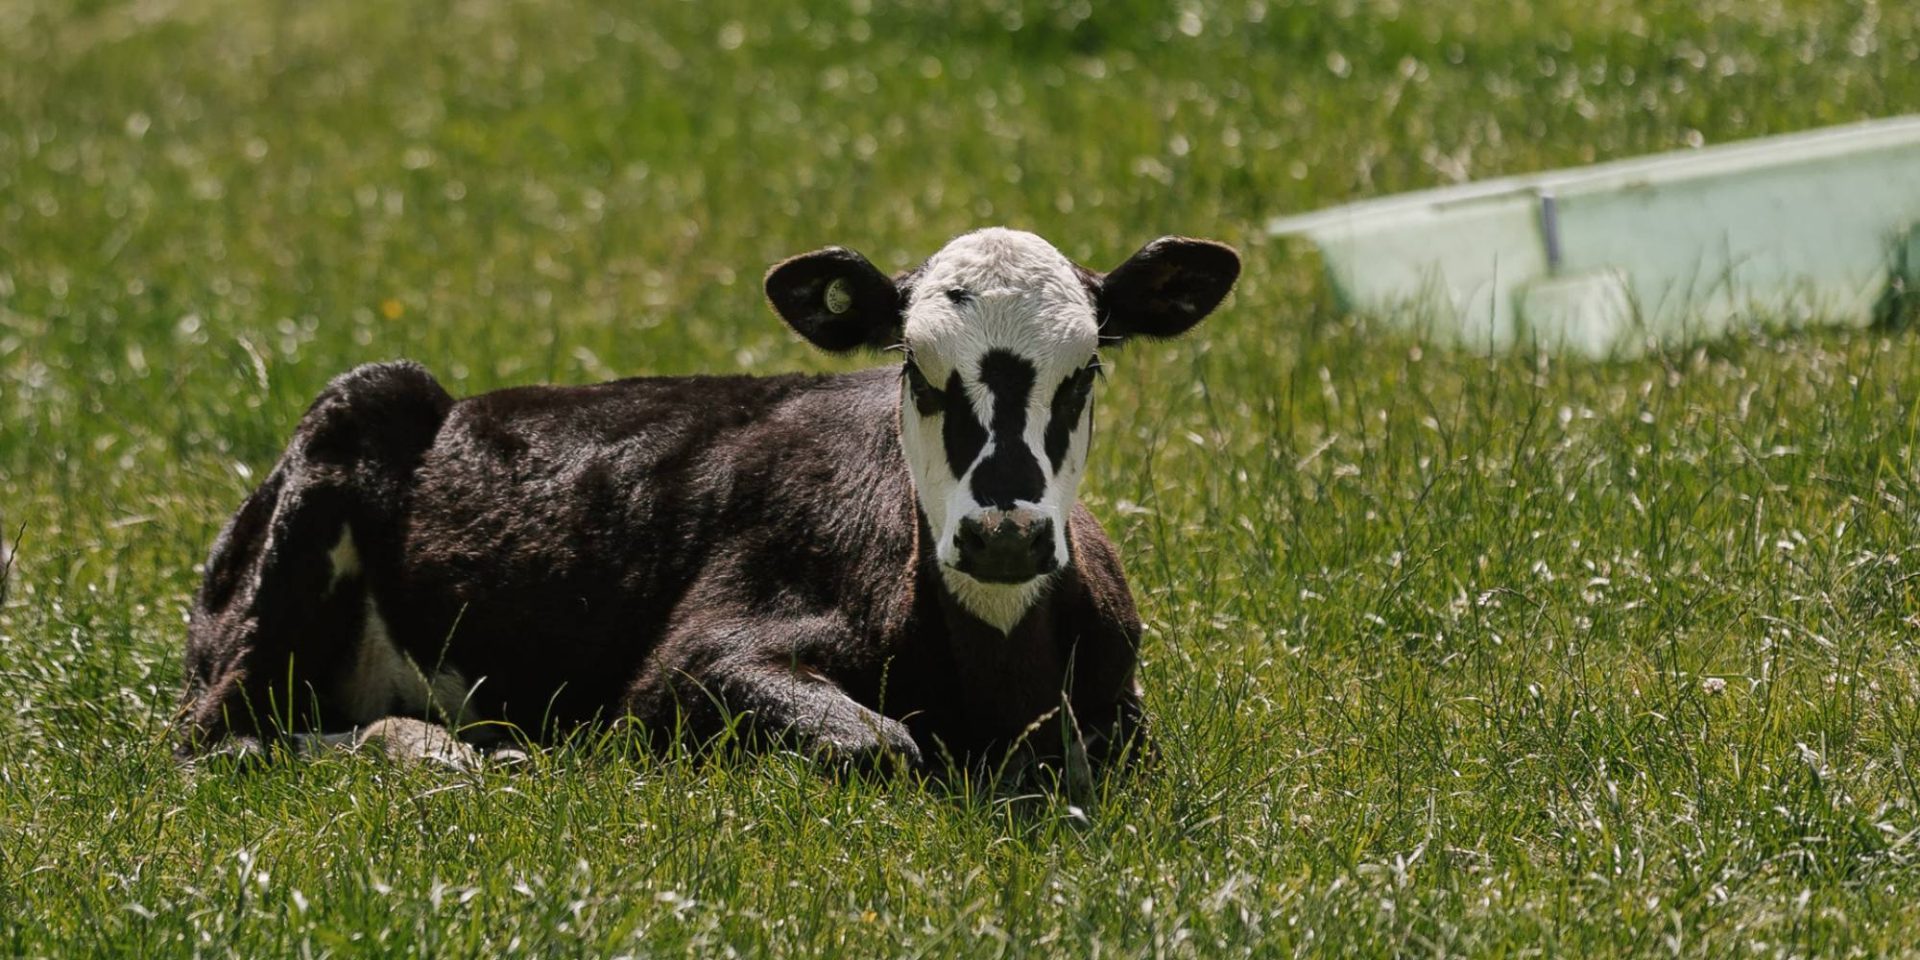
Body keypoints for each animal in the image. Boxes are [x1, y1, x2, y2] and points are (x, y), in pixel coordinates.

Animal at [176, 228, 1240, 781]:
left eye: (1086, 369)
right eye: (915, 367)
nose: (1004, 534)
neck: (1002, 696)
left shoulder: (1122, 707)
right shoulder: (690, 663)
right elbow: (879, 743)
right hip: (336, 445)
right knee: (218, 740)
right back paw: (442, 752)